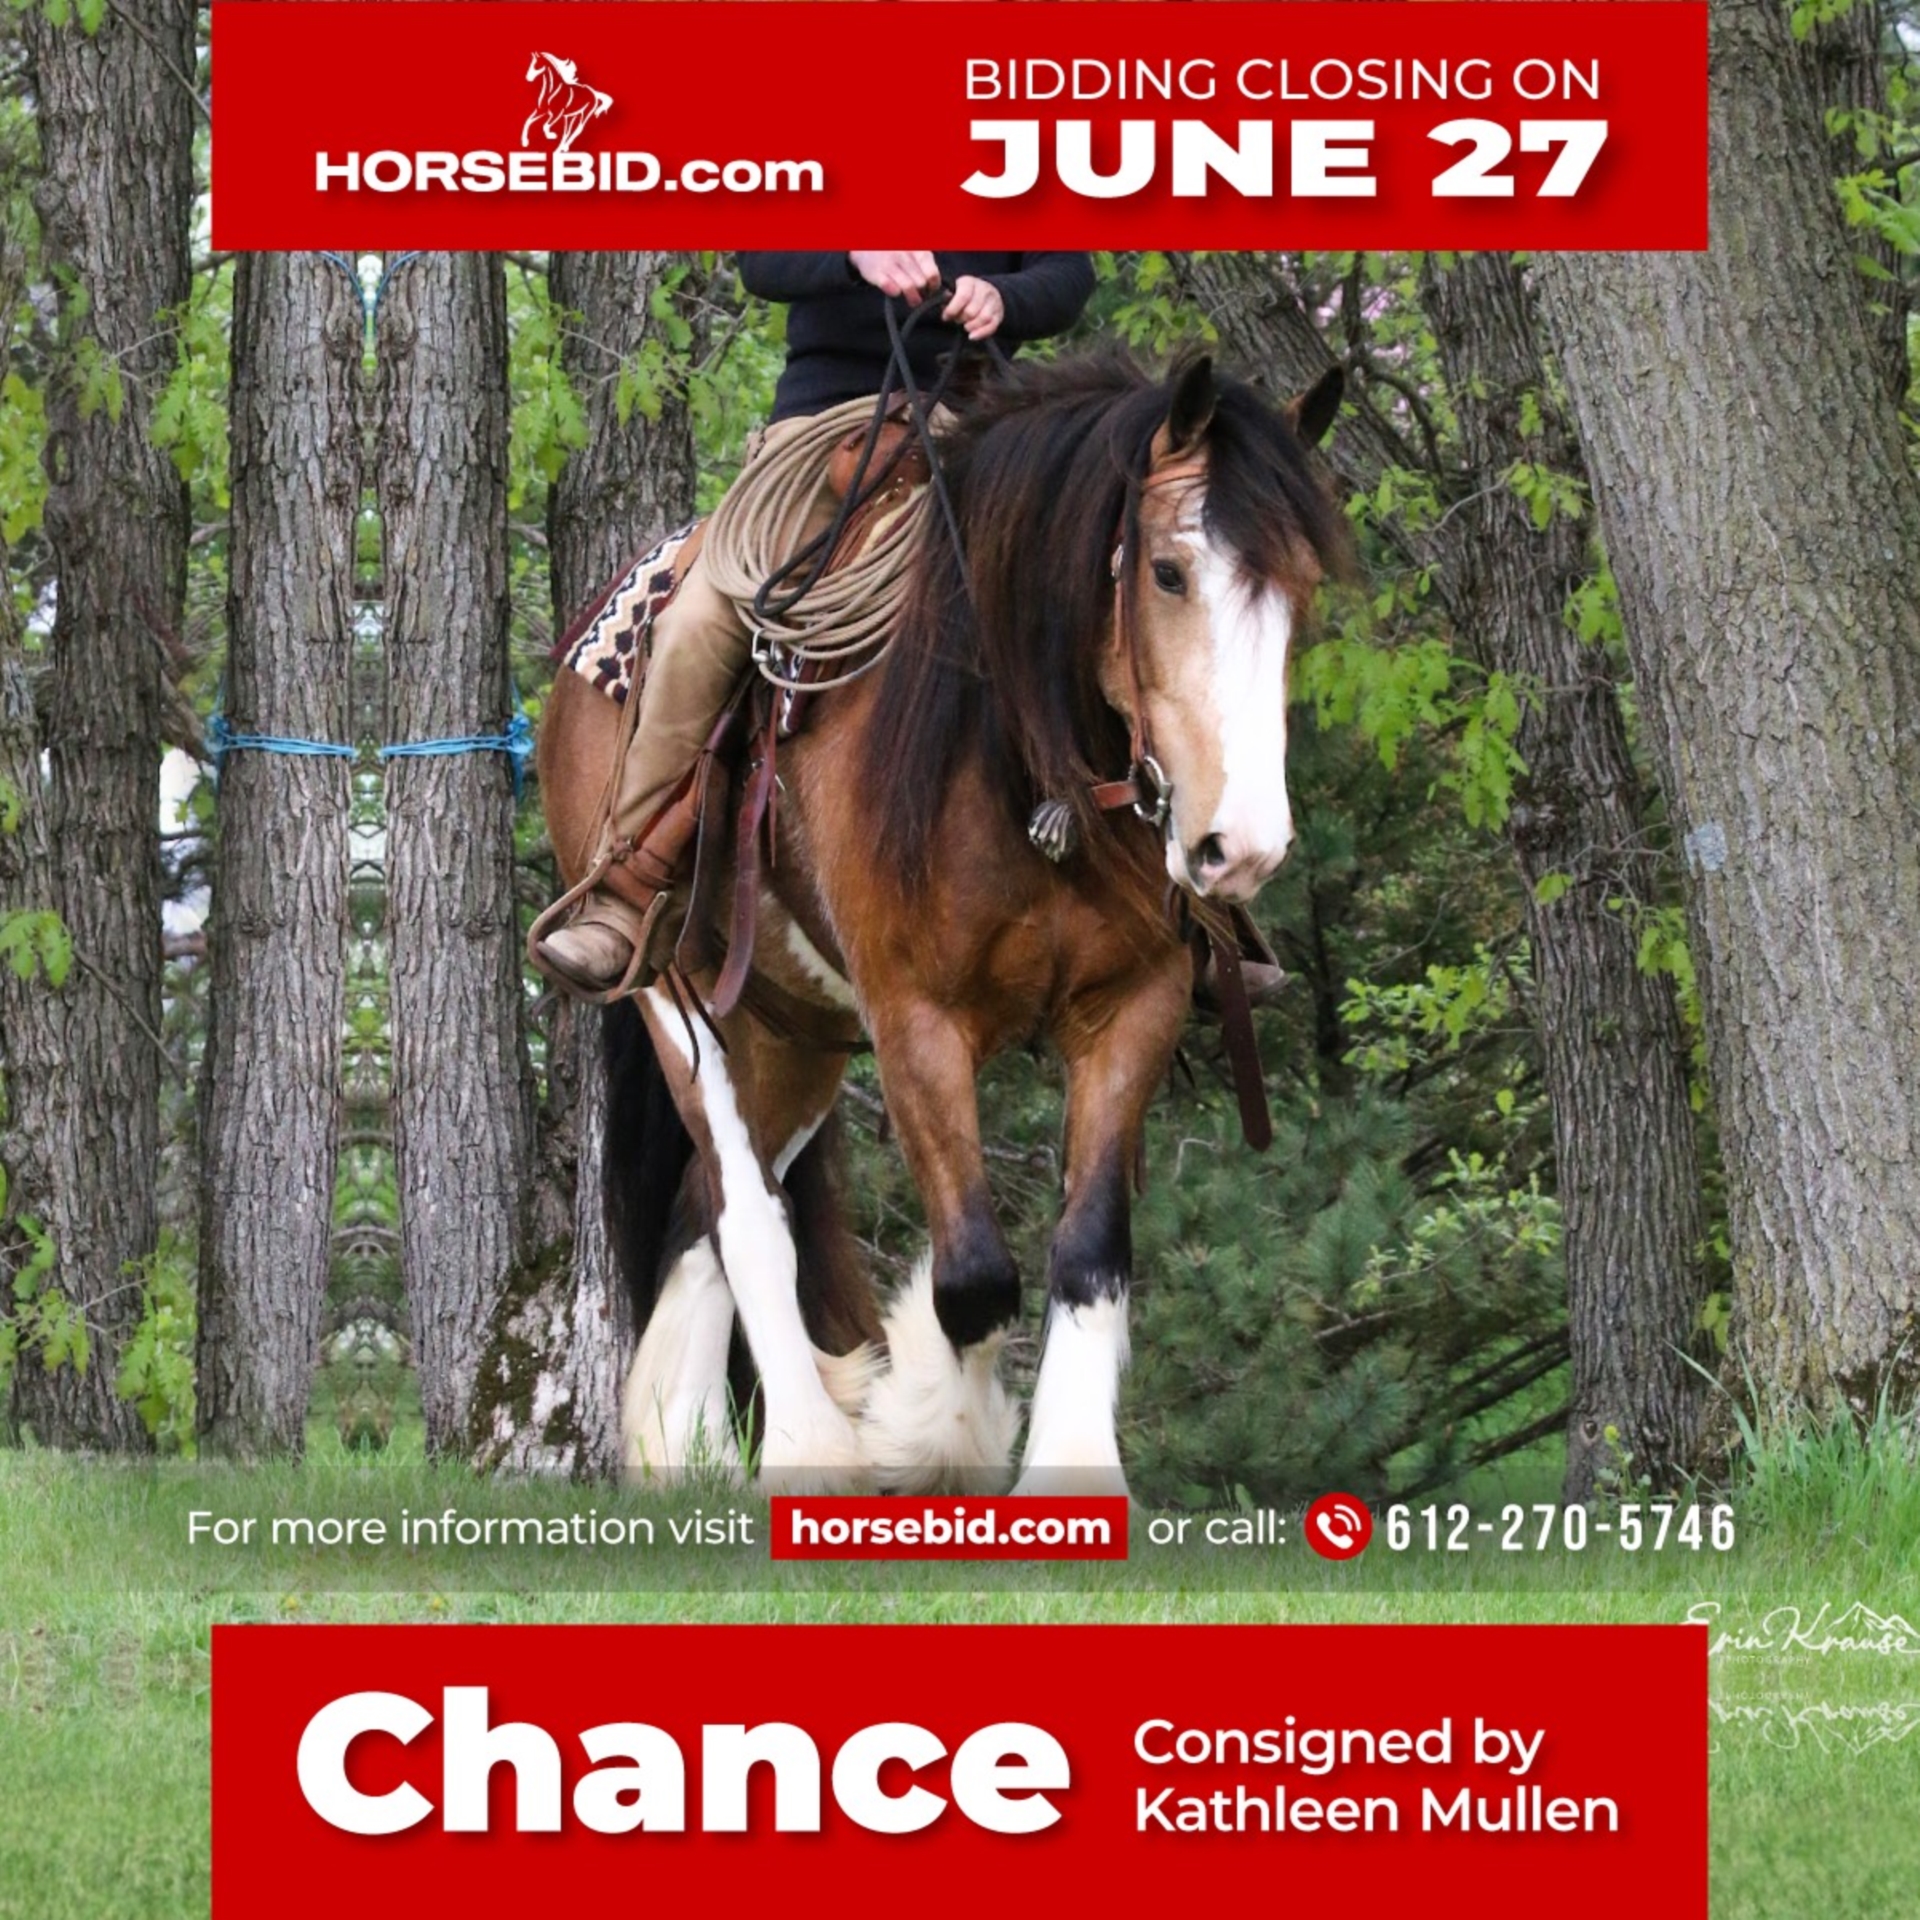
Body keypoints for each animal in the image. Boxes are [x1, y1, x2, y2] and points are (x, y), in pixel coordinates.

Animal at [538, 352, 1349, 1496]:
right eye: (1168, 572)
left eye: (1302, 591)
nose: (1244, 845)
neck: (1017, 763)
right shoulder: (915, 1020)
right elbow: (970, 1276)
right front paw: (929, 1437)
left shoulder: (1133, 1007)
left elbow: (1091, 1252)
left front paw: (1067, 1469)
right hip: (677, 998)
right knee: (746, 1212)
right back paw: (808, 1449)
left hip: (796, 1031)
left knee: (706, 1208)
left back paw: (691, 1450)